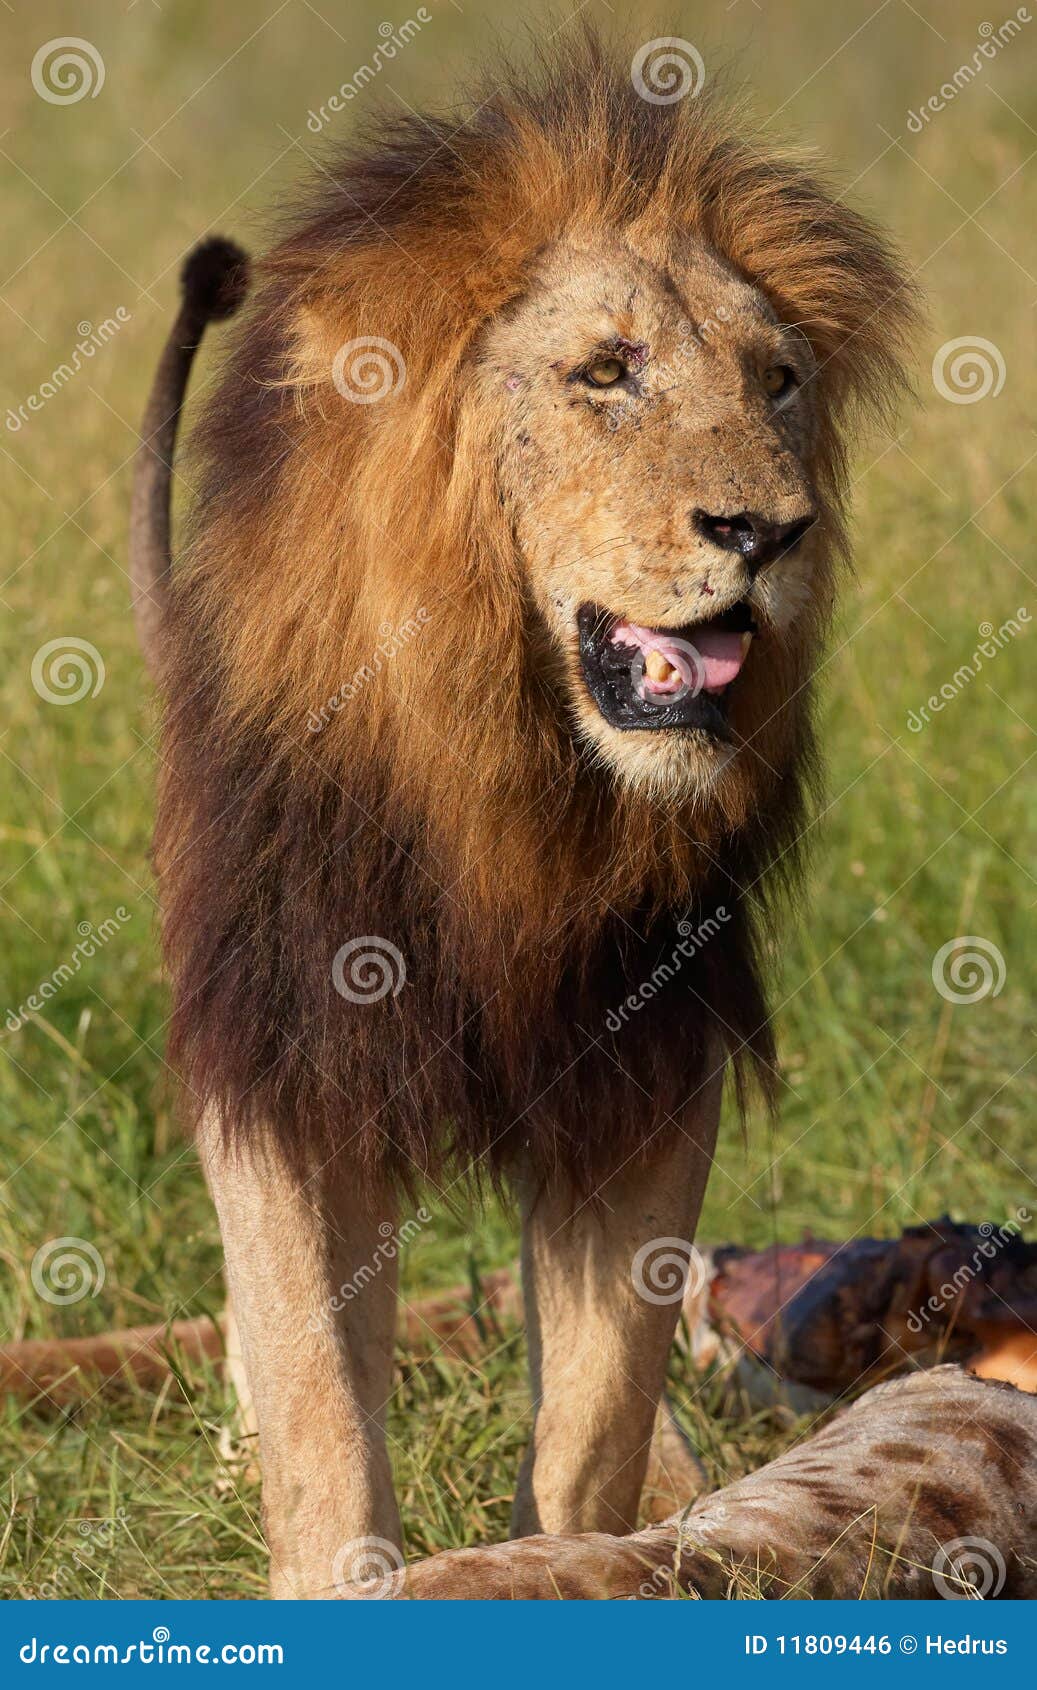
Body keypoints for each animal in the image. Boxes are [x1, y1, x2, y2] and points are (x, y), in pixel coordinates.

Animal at [130, 33, 916, 1597]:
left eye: (777, 381)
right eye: (605, 372)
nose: (772, 532)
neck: (509, 786)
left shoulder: (645, 1068)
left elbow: (595, 1410)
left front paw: (580, 1548)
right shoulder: (290, 1056)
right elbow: (317, 1398)